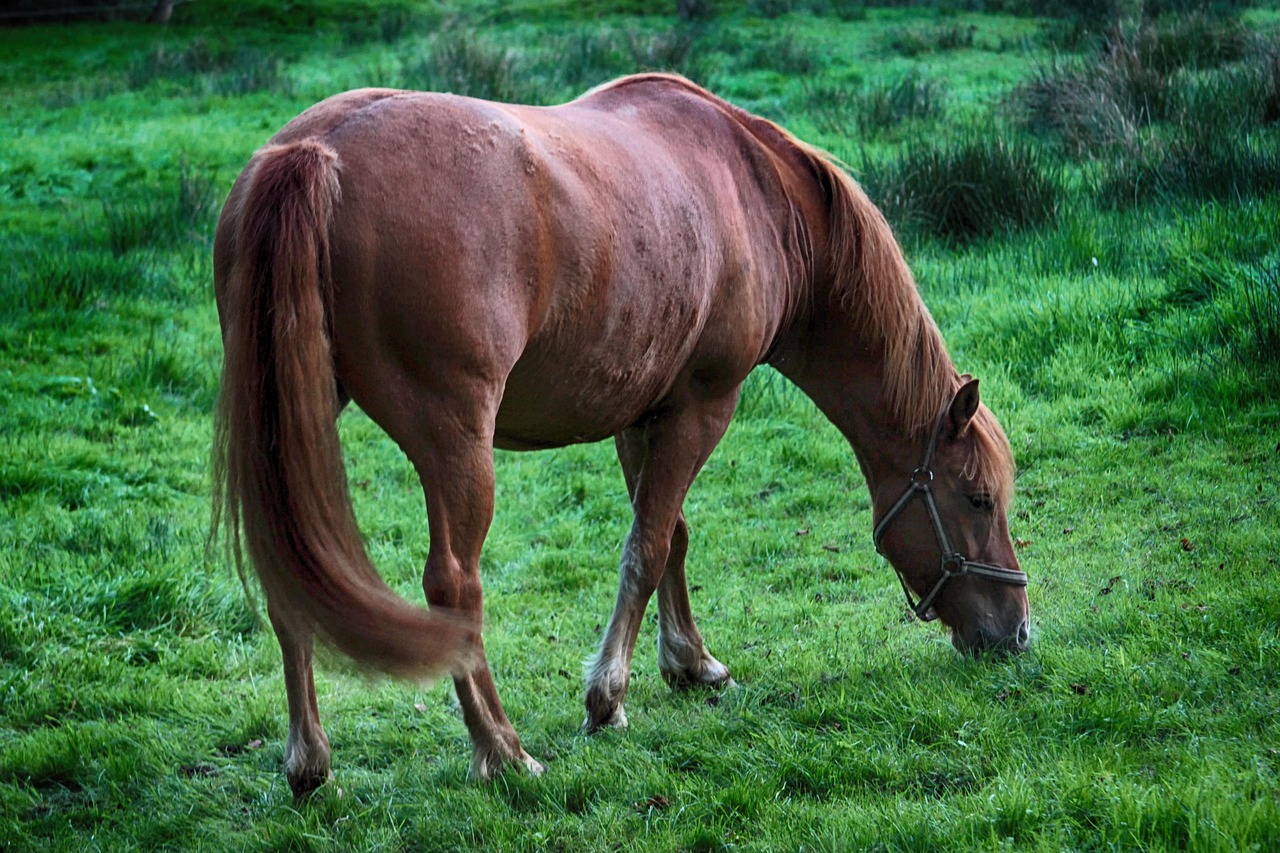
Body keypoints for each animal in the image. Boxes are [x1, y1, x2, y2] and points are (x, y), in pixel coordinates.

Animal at [212, 73, 1030, 797]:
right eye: (978, 499)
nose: (1018, 634)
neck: (758, 194)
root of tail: (315, 150)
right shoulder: (703, 407)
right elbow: (649, 545)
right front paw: (607, 697)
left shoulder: (646, 416)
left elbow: (671, 535)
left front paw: (690, 662)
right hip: (457, 448)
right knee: (454, 585)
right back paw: (503, 751)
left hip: (295, 435)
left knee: (292, 576)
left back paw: (310, 762)